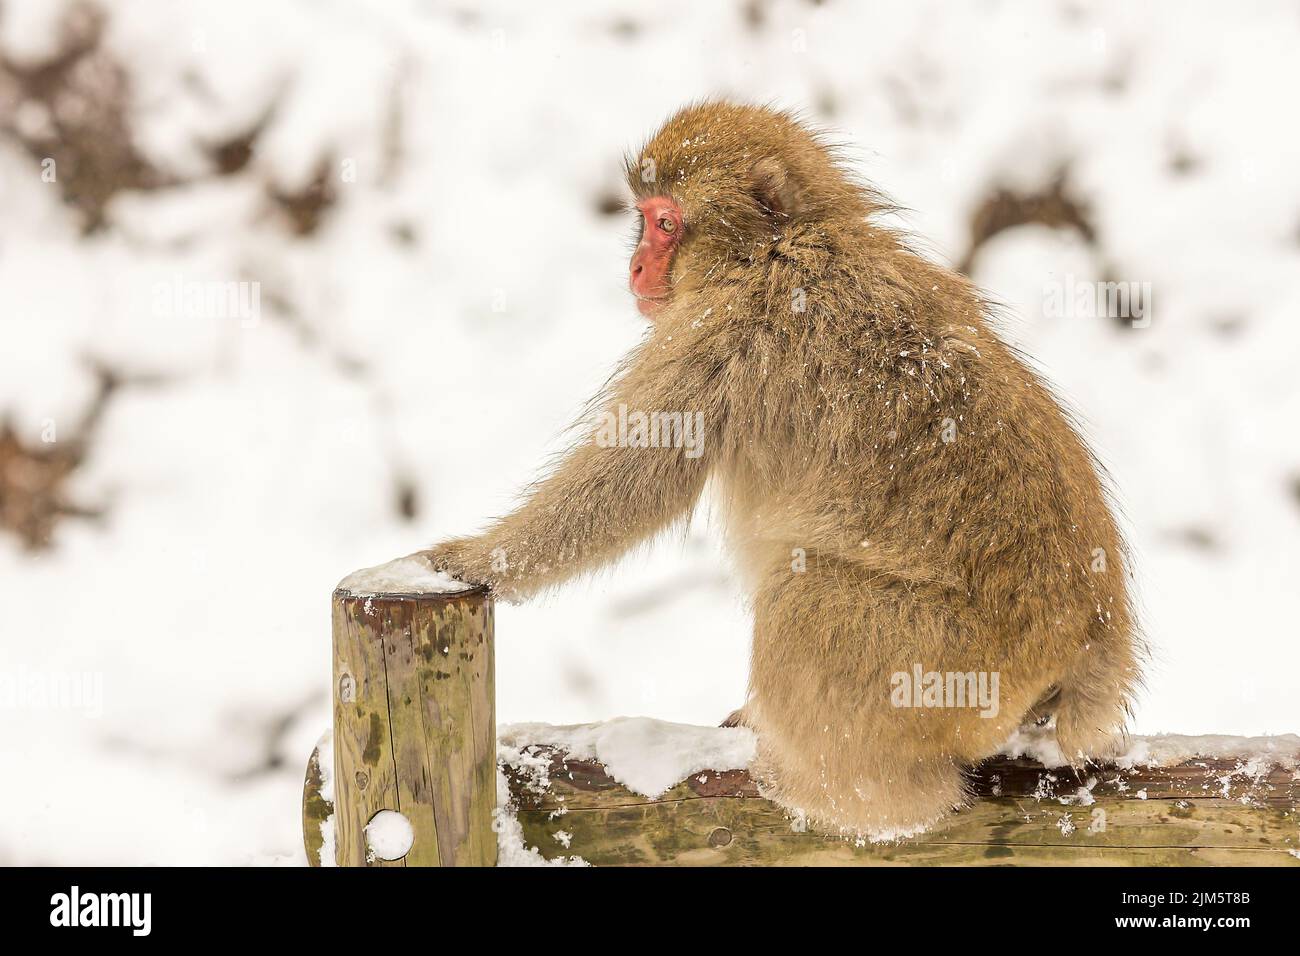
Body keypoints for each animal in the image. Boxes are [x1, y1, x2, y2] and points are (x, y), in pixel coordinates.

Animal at [425, 101, 1141, 840]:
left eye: (665, 223)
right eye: (645, 217)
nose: (637, 266)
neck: (777, 246)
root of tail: (1089, 639)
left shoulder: (726, 327)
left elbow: (639, 478)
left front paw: (471, 560)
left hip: (945, 664)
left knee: (801, 597)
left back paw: (828, 793)